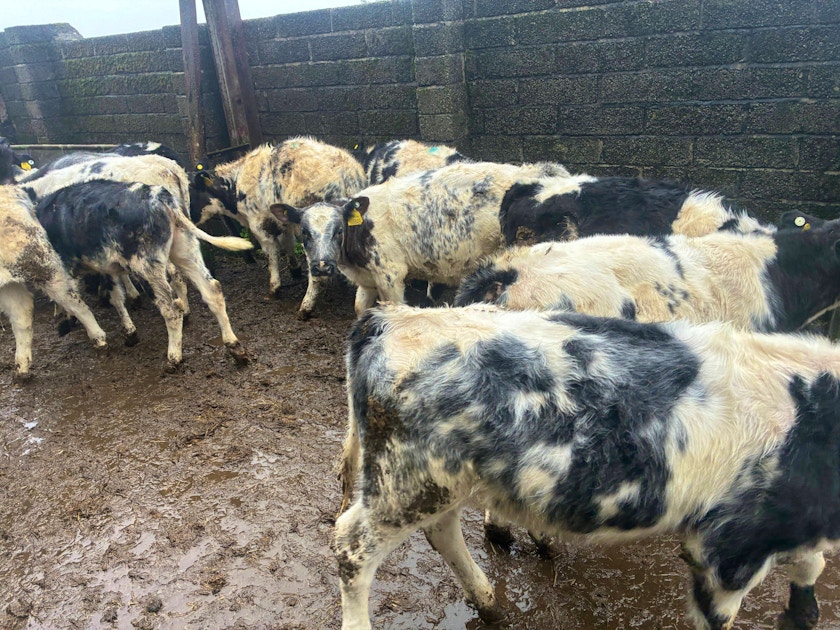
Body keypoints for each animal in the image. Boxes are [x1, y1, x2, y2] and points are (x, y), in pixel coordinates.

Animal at [0, 185, 107, 382]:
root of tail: (14, 191)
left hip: (42, 265)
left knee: (73, 300)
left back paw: (98, 338)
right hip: (9, 282)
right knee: (21, 312)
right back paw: (22, 367)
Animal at [33, 179, 253, 368]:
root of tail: (158, 195)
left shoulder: (63, 270)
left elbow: (74, 302)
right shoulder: (106, 268)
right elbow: (116, 298)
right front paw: (129, 332)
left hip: (146, 267)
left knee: (172, 308)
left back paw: (174, 357)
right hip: (185, 251)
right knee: (212, 290)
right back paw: (235, 347)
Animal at [189, 136, 368, 302]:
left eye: (188, 192)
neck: (235, 184)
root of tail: (346, 170)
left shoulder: (261, 226)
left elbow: (271, 255)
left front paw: (274, 287)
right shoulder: (283, 220)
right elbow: (287, 242)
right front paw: (295, 270)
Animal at [272, 161, 570, 319]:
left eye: (338, 231)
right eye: (305, 233)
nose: (322, 267)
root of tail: (534, 172)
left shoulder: (390, 275)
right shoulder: (367, 280)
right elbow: (359, 308)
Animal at [336, 303, 840, 630]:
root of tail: (390, 318)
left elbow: (811, 563)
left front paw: (803, 612)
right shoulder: (730, 548)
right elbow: (722, 613)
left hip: (439, 478)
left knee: (441, 531)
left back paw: (489, 602)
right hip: (407, 481)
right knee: (351, 546)